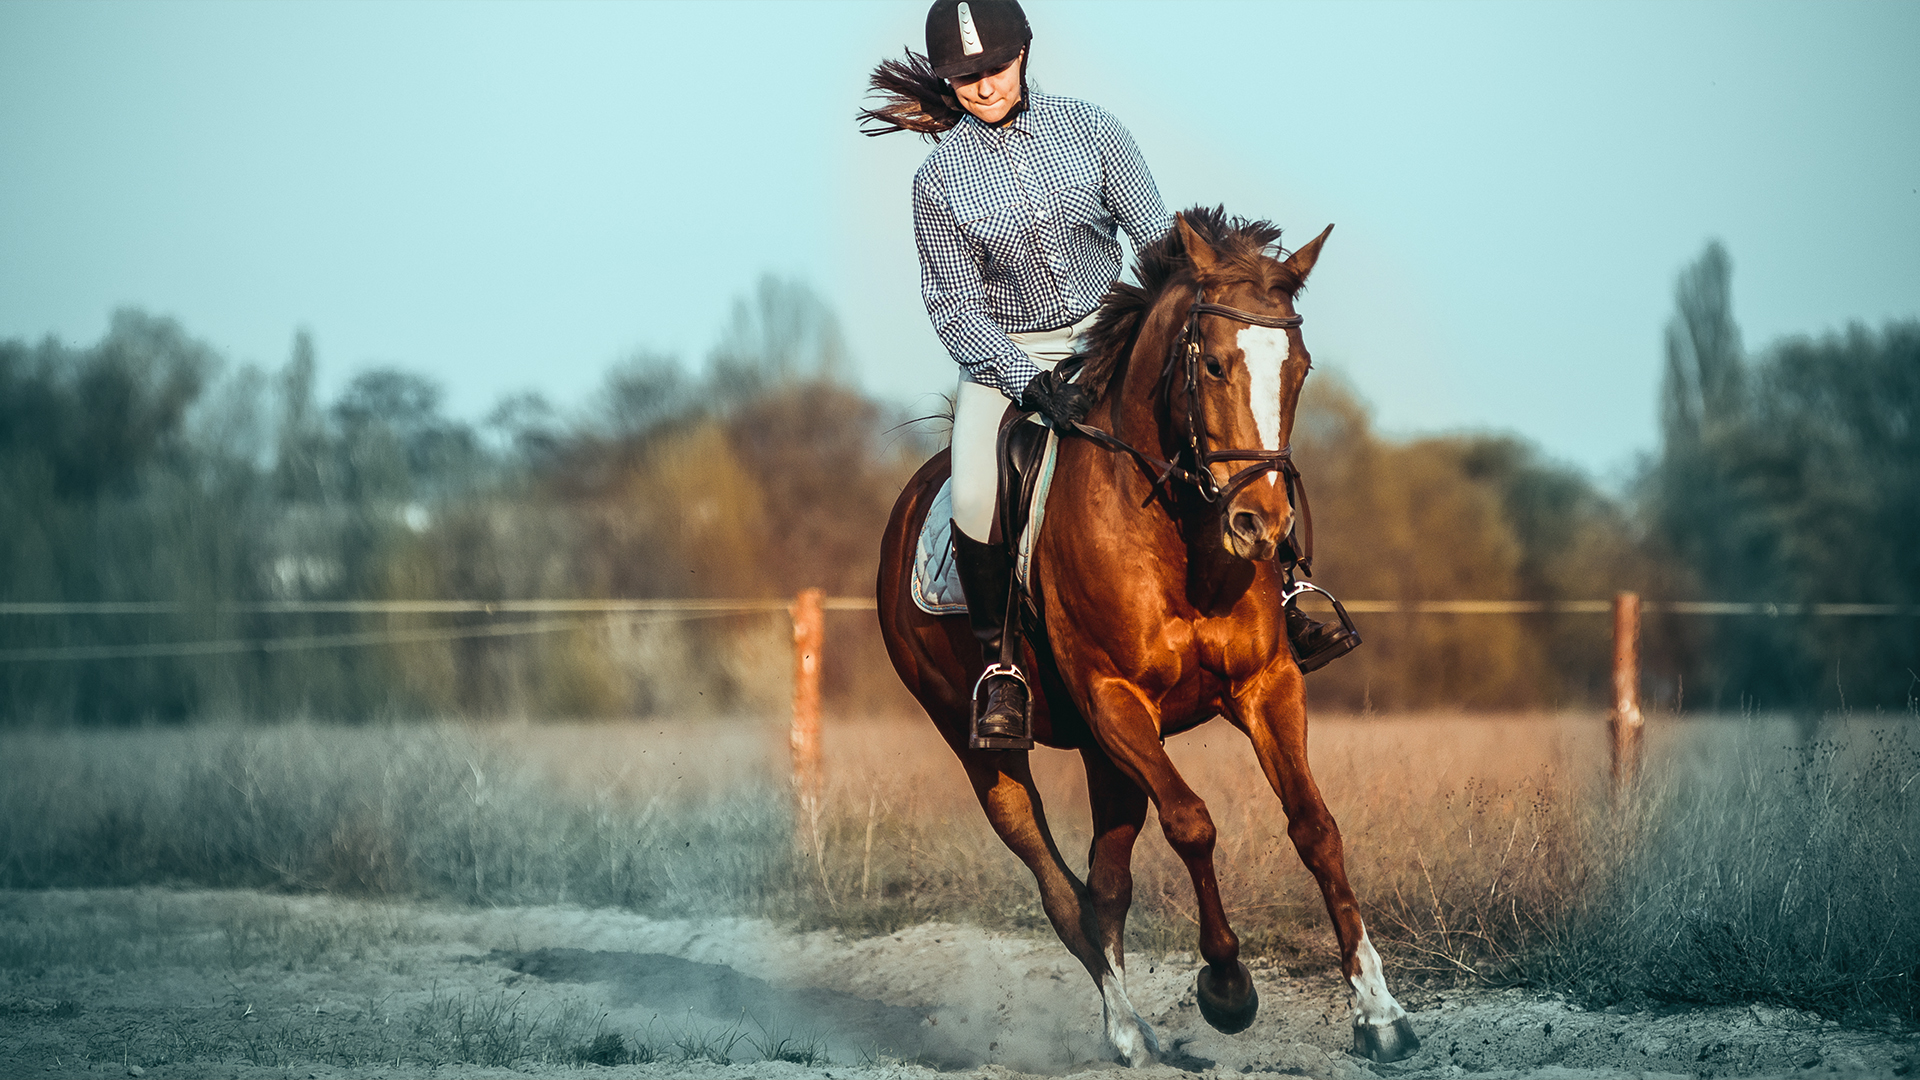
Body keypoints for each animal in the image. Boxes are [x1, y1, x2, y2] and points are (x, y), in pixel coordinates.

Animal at [875, 208, 1420, 1066]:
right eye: (1217, 365)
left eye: (1299, 370)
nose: (1261, 528)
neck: (1175, 530)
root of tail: (904, 514)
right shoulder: (1116, 701)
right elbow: (1194, 823)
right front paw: (1227, 989)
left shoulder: (1266, 686)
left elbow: (1316, 828)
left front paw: (1379, 1013)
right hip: (991, 756)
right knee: (1059, 888)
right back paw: (1128, 1031)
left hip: (1108, 759)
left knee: (1105, 884)